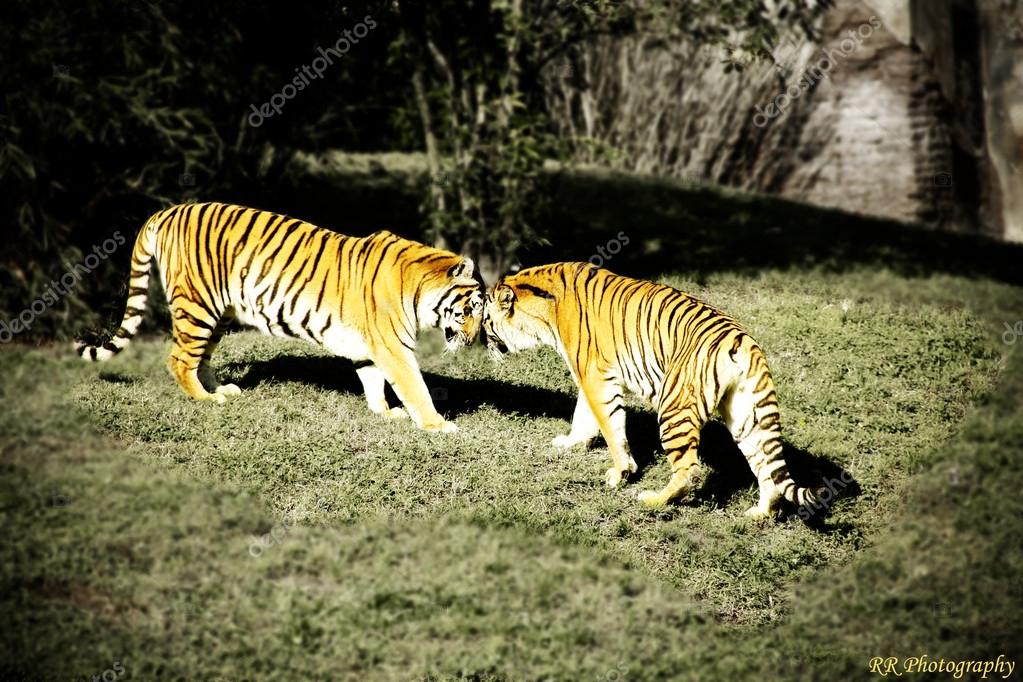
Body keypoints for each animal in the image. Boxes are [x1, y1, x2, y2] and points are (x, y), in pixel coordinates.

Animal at [76, 202, 484, 433]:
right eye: (472, 310)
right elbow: (414, 387)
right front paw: (437, 425)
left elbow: (373, 382)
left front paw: (383, 414)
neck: (417, 287)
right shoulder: (393, 348)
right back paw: (206, 400)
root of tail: (166, 211)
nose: (476, 339)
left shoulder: (369, 345)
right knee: (178, 359)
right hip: (197, 305)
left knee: (200, 358)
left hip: (219, 313)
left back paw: (220, 390)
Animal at [481, 262, 821, 518]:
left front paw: (620, 474)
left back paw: (653, 499)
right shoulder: (590, 377)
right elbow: (584, 416)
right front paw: (572, 443)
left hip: (675, 409)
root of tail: (742, 340)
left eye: (485, 319)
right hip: (746, 418)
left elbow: (612, 429)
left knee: (690, 469)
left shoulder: (596, 377)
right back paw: (760, 514)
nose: (482, 340)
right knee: (768, 471)